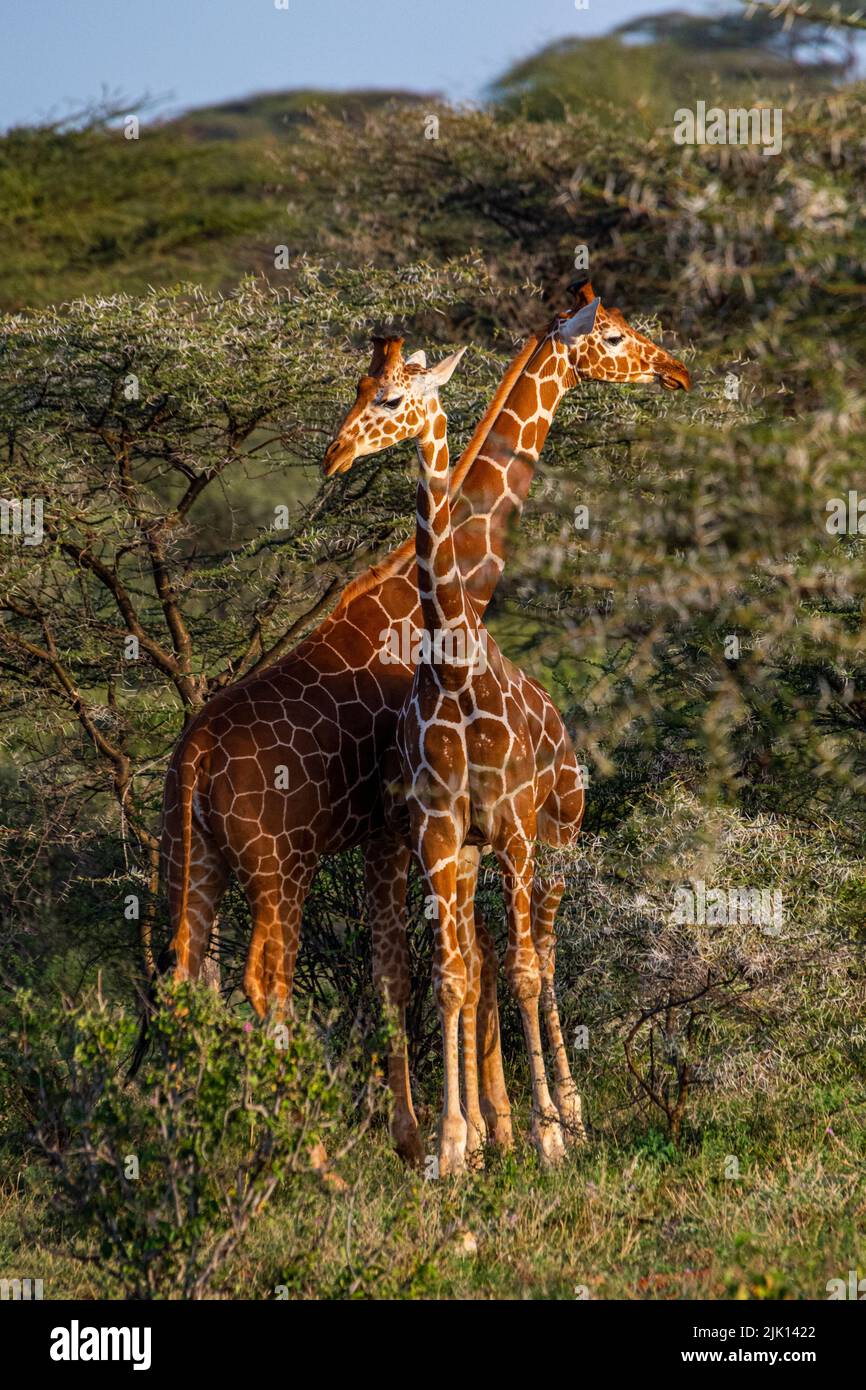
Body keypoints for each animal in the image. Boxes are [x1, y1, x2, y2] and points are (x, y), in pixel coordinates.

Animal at [157, 276, 692, 1167]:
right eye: (613, 335)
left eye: (378, 392)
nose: (676, 370)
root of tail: (193, 756)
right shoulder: (398, 828)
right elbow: (420, 972)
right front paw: (457, 1135)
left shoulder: (429, 835)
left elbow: (445, 968)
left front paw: (480, 1131)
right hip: (278, 864)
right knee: (266, 984)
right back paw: (303, 1151)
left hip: (192, 861)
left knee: (185, 978)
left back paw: (199, 1143)